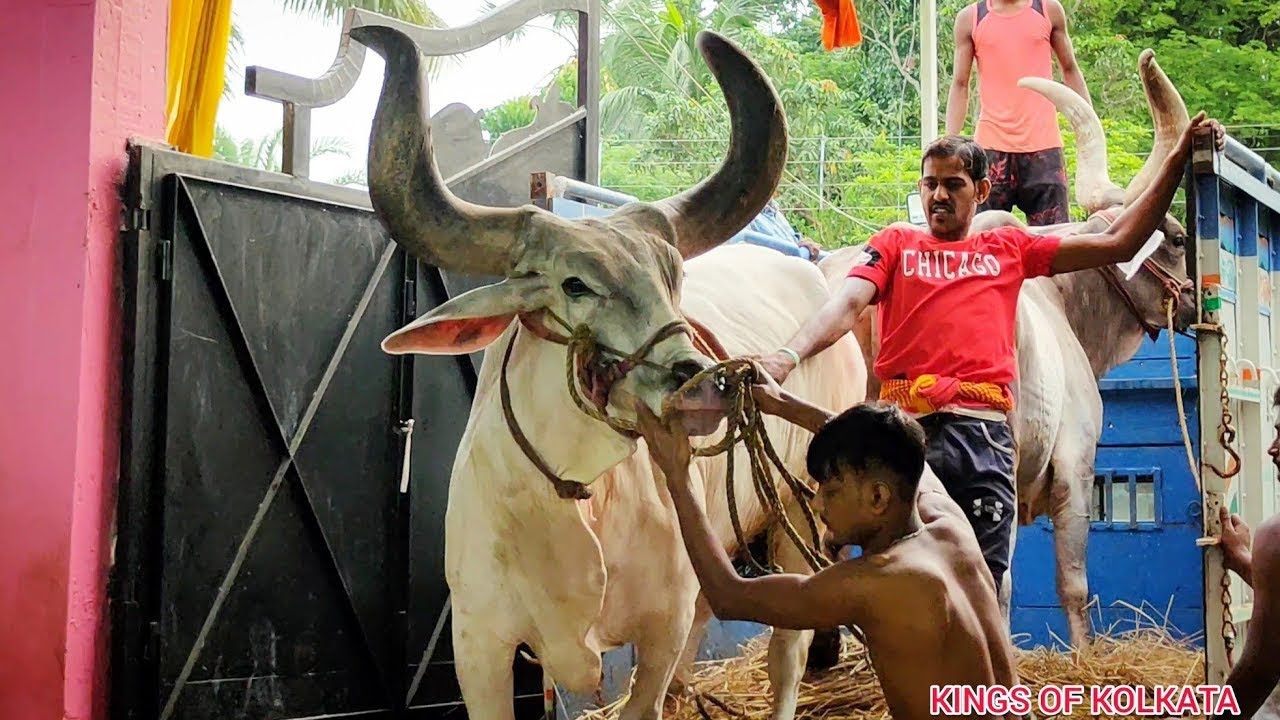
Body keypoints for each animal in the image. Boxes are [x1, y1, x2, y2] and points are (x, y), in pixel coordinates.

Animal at [351, 24, 866, 720]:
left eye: (673, 277)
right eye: (576, 284)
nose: (700, 384)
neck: (568, 491)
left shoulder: (659, 627)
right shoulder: (479, 644)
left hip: (797, 510)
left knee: (787, 650)